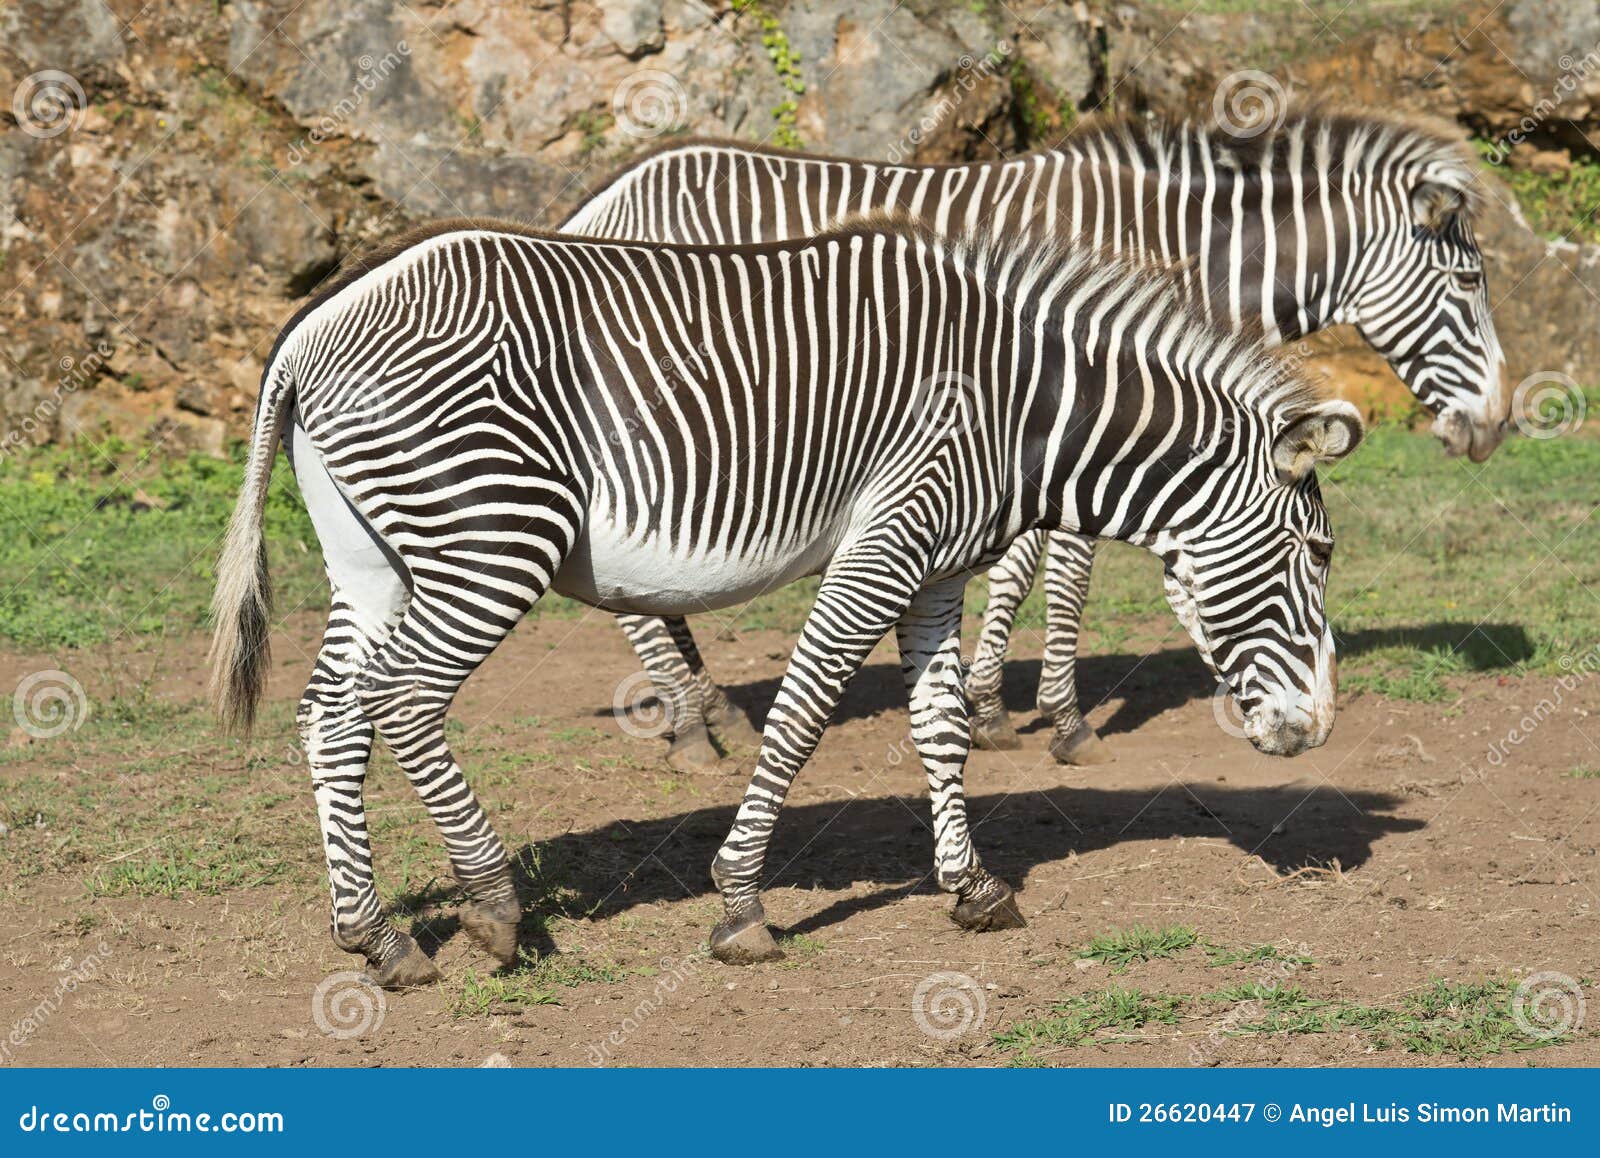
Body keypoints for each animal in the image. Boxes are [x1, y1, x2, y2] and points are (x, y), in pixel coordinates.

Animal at [211, 215, 1363, 980]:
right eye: (1315, 551)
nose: (1315, 732)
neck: (1017, 406)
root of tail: (311, 328)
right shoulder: (884, 547)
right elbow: (803, 715)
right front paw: (741, 905)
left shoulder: (935, 571)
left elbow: (939, 726)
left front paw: (972, 888)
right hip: (492, 536)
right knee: (405, 703)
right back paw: (495, 908)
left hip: (373, 559)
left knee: (330, 715)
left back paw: (377, 936)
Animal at [553, 107, 1508, 766]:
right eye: (1469, 282)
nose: (1496, 427)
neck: (1171, 248)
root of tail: (598, 201)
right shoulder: (1073, 406)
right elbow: (1062, 568)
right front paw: (1056, 717)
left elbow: (1024, 563)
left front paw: (988, 706)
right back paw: (691, 727)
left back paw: (708, 707)